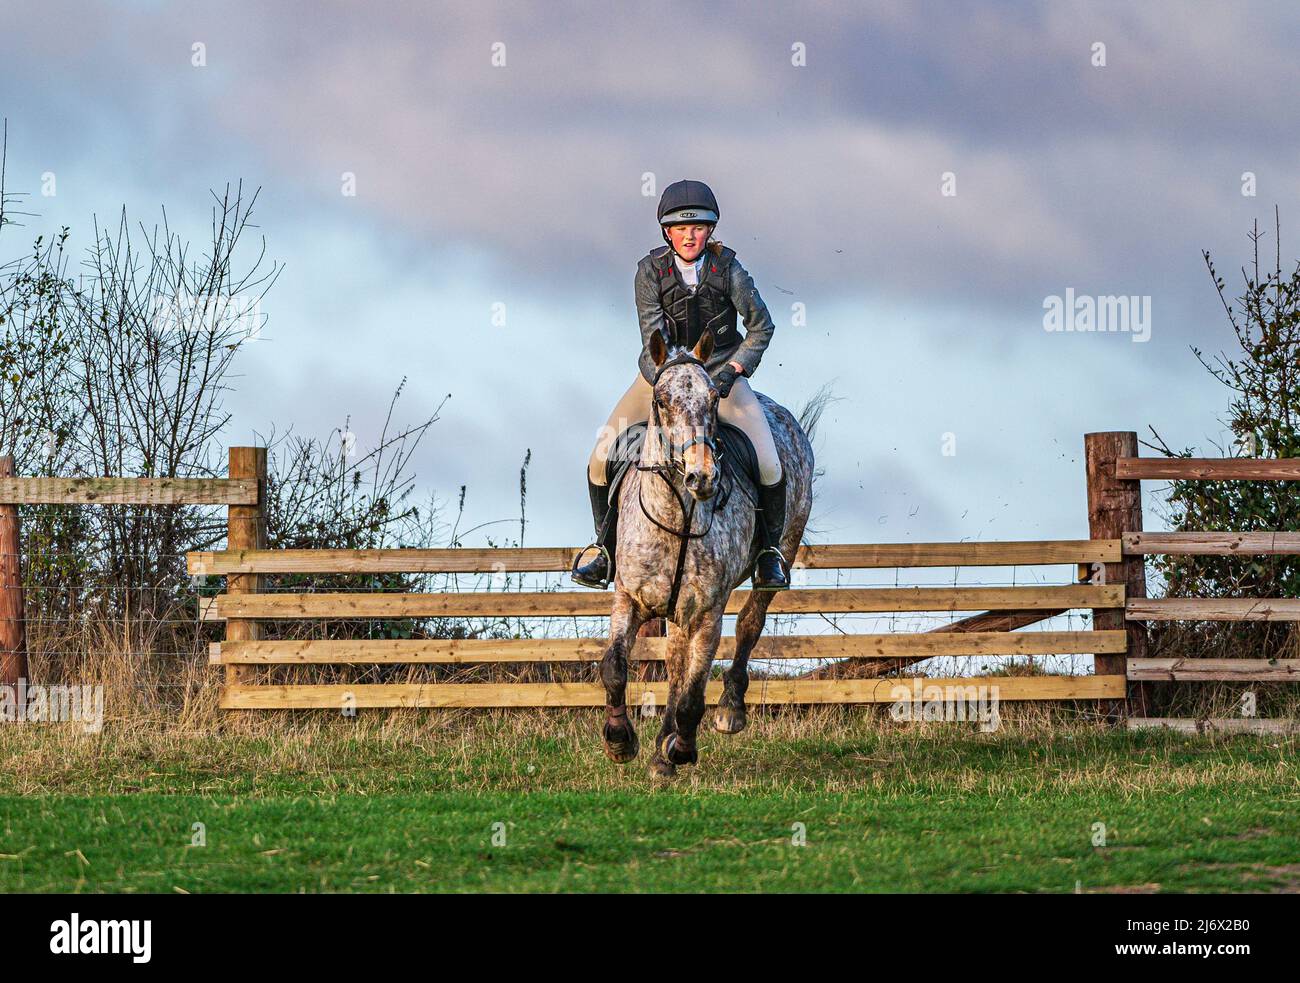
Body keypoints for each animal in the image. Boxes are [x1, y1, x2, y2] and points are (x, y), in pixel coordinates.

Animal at [599, 327, 817, 778]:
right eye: (661, 400)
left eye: (715, 398)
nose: (702, 476)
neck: (677, 517)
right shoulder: (629, 598)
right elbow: (615, 667)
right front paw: (620, 741)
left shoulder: (706, 614)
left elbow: (693, 694)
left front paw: (681, 749)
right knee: (676, 664)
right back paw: (659, 752)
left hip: (782, 551)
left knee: (750, 623)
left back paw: (727, 712)